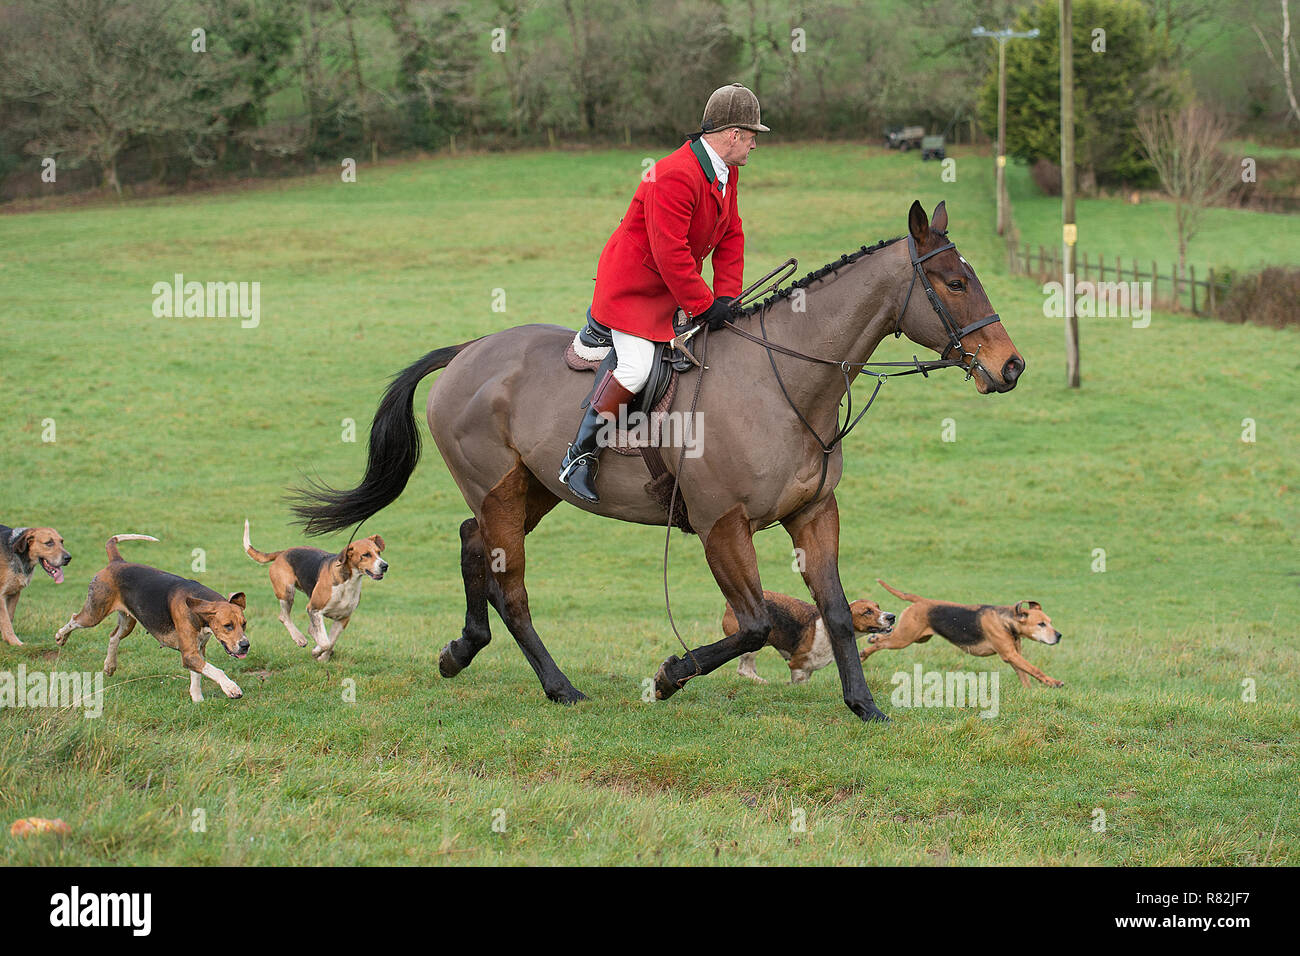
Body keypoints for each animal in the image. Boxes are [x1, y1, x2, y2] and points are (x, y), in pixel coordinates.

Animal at [292, 200, 1024, 724]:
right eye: (955, 282)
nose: (1010, 367)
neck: (784, 383)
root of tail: (469, 350)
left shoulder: (815, 513)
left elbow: (838, 611)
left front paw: (864, 705)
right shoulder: (721, 525)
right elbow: (754, 624)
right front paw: (670, 677)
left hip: (530, 490)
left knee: (474, 545)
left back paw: (460, 651)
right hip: (500, 489)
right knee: (511, 588)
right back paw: (559, 687)